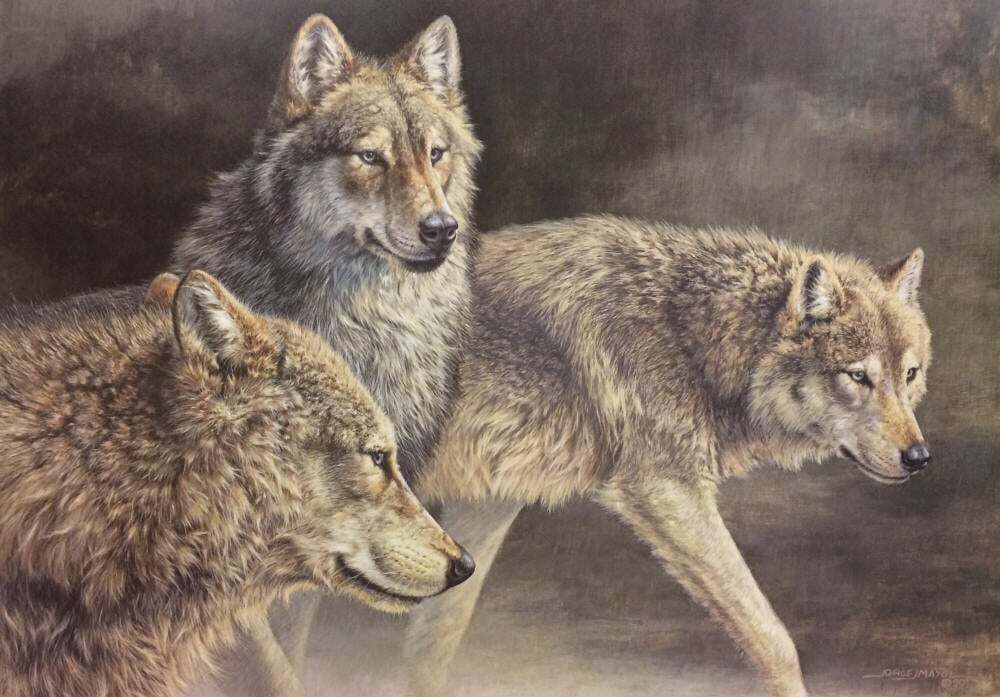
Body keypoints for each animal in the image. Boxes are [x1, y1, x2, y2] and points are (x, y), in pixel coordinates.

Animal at [405, 215, 932, 697]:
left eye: (909, 374)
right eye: (858, 376)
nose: (920, 457)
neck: (693, 334)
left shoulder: (486, 504)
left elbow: (433, 643)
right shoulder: (665, 489)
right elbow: (775, 641)